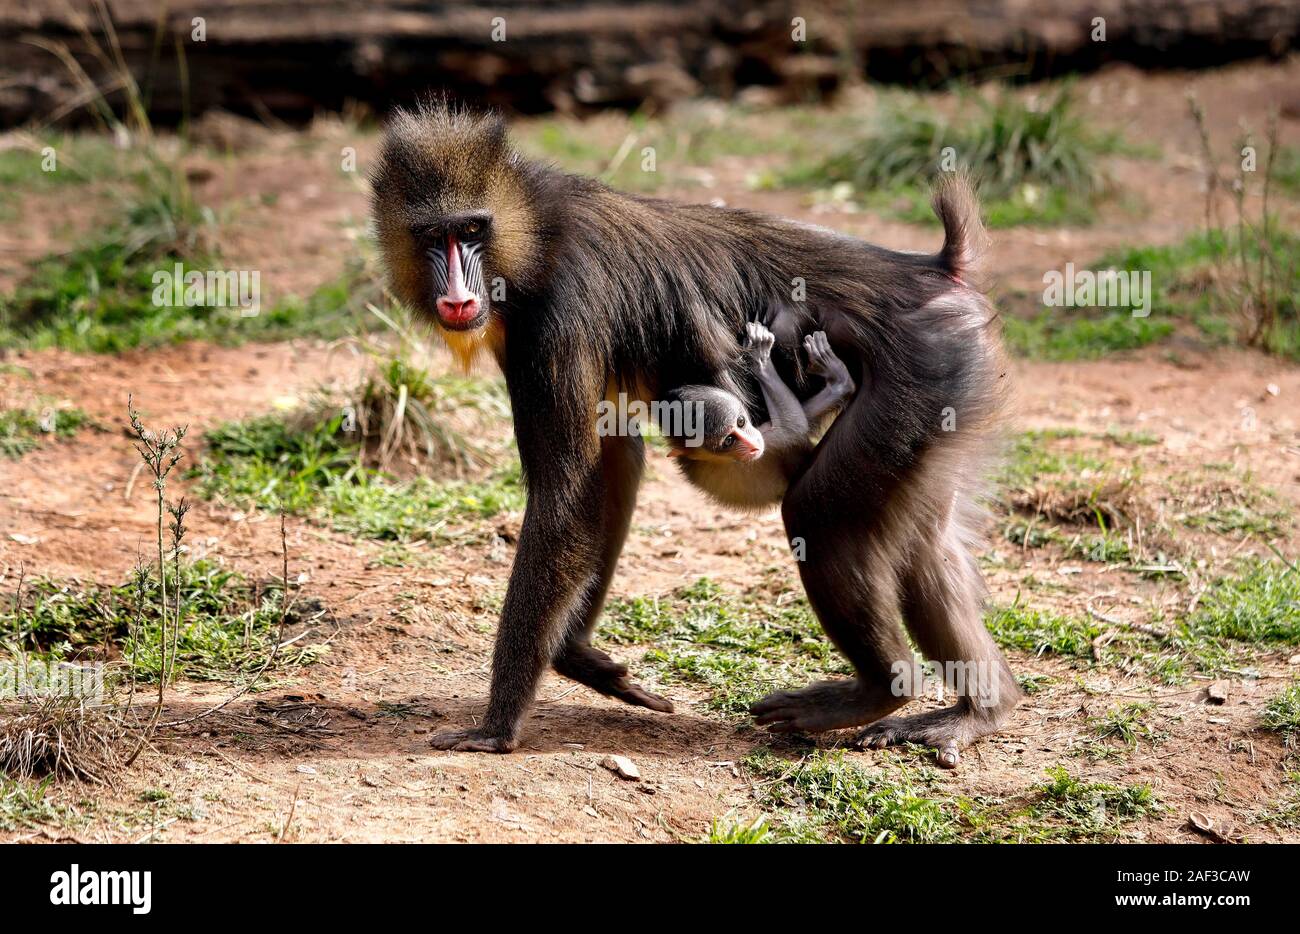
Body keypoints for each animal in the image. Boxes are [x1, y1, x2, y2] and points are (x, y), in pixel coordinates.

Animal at [658, 320, 856, 509]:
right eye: (728, 441)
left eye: (740, 421)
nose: (752, 445)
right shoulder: (760, 449)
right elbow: (794, 427)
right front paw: (759, 358)